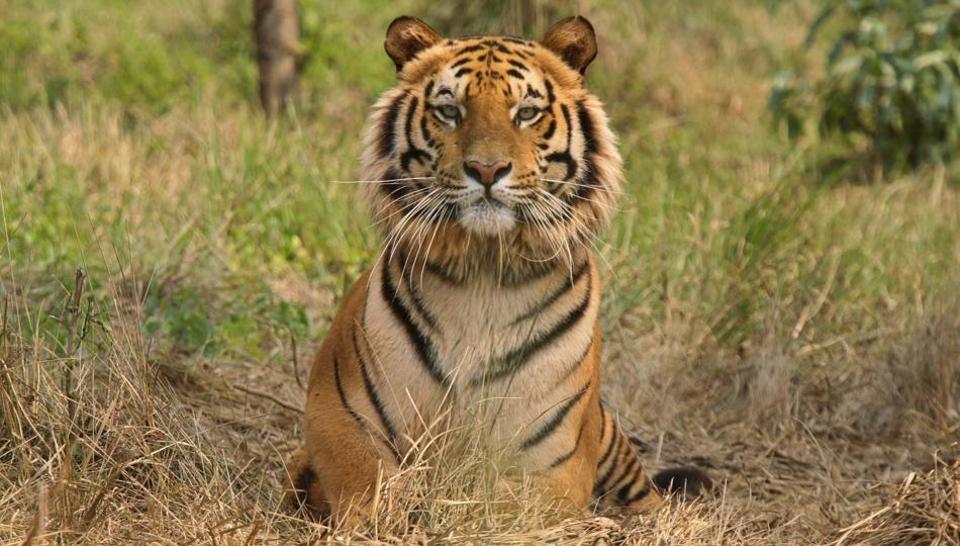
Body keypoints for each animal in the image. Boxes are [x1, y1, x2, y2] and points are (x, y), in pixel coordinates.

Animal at [285, 15, 709, 523]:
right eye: (450, 110)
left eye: (525, 112)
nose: (486, 170)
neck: (483, 273)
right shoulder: (337, 414)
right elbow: (368, 487)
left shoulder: (554, 459)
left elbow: (508, 509)